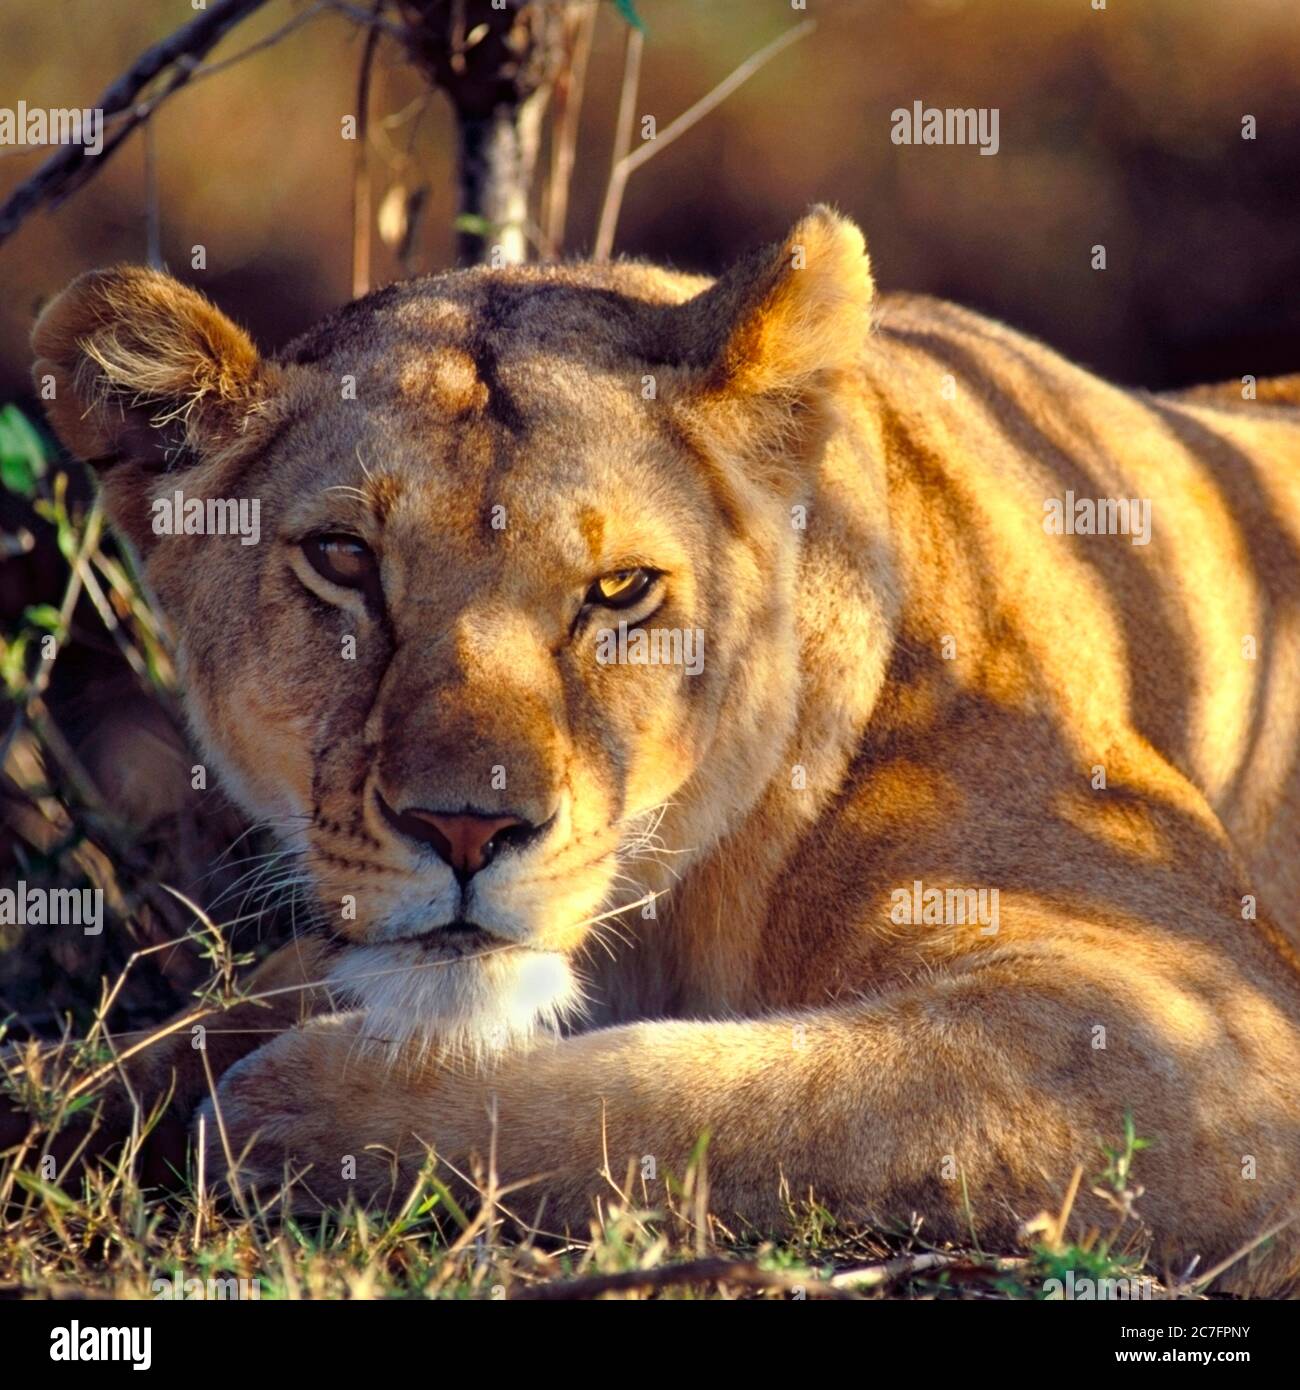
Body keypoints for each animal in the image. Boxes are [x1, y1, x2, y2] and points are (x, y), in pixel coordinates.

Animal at [17, 206, 1300, 1294]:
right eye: (342, 559)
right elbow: (202, 1021)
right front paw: (78, 1097)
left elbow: (732, 1098)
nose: (465, 827)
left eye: (620, 589)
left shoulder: (1210, 1033)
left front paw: (291, 1112)